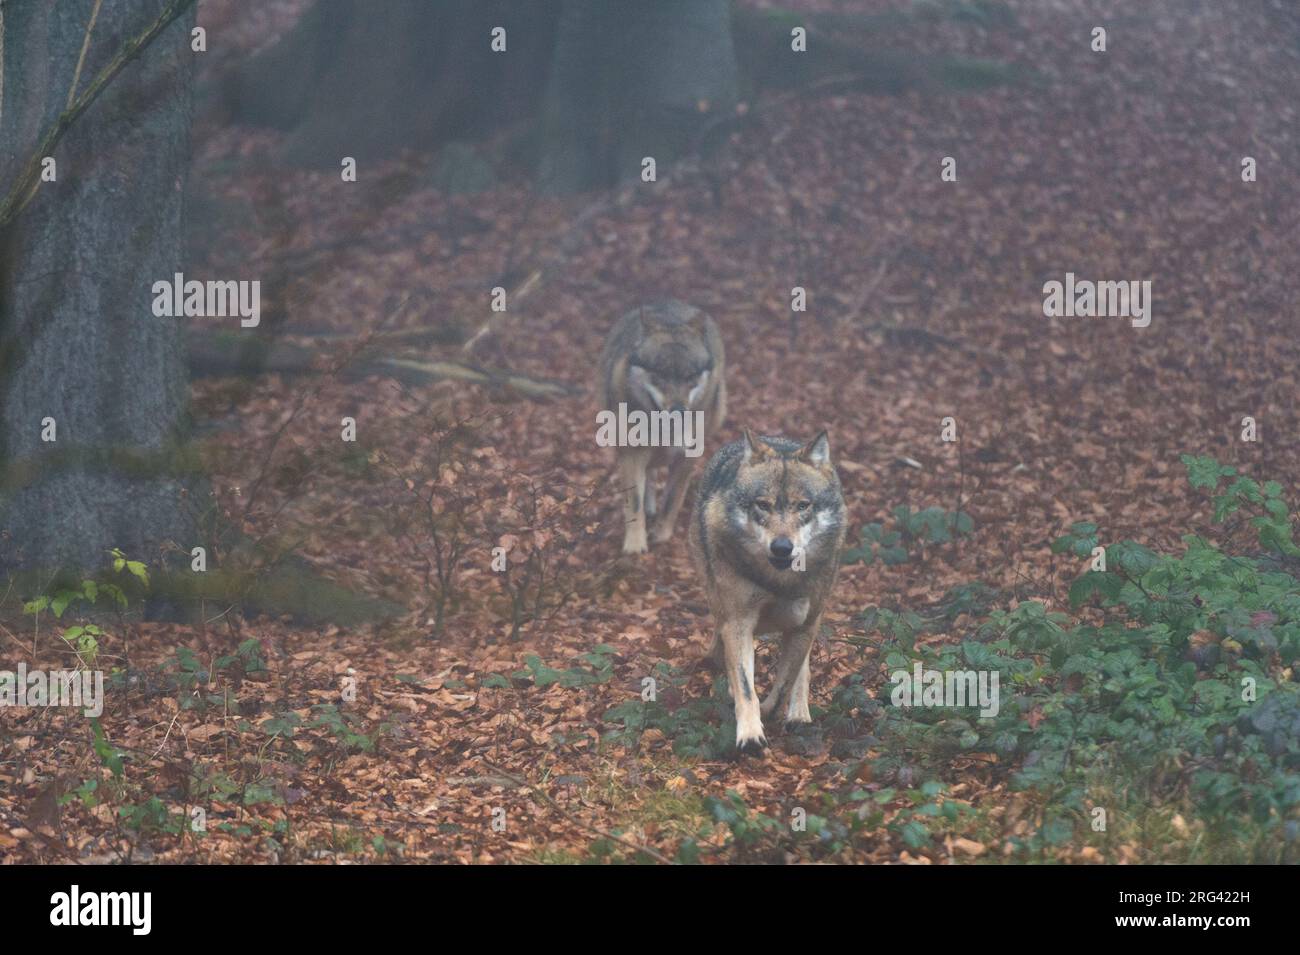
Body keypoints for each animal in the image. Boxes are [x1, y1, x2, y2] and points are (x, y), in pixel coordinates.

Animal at [598, 301, 726, 554]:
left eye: (690, 376)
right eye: (660, 375)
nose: (679, 411)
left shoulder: (687, 457)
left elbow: (671, 499)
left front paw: (661, 535)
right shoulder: (631, 454)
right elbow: (634, 502)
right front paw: (635, 545)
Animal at [689, 430, 847, 752]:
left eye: (803, 506)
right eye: (763, 505)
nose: (782, 547)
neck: (778, 582)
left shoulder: (804, 625)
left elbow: (786, 681)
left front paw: (772, 712)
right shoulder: (738, 623)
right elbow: (745, 685)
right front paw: (750, 735)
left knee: (802, 669)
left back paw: (799, 715)